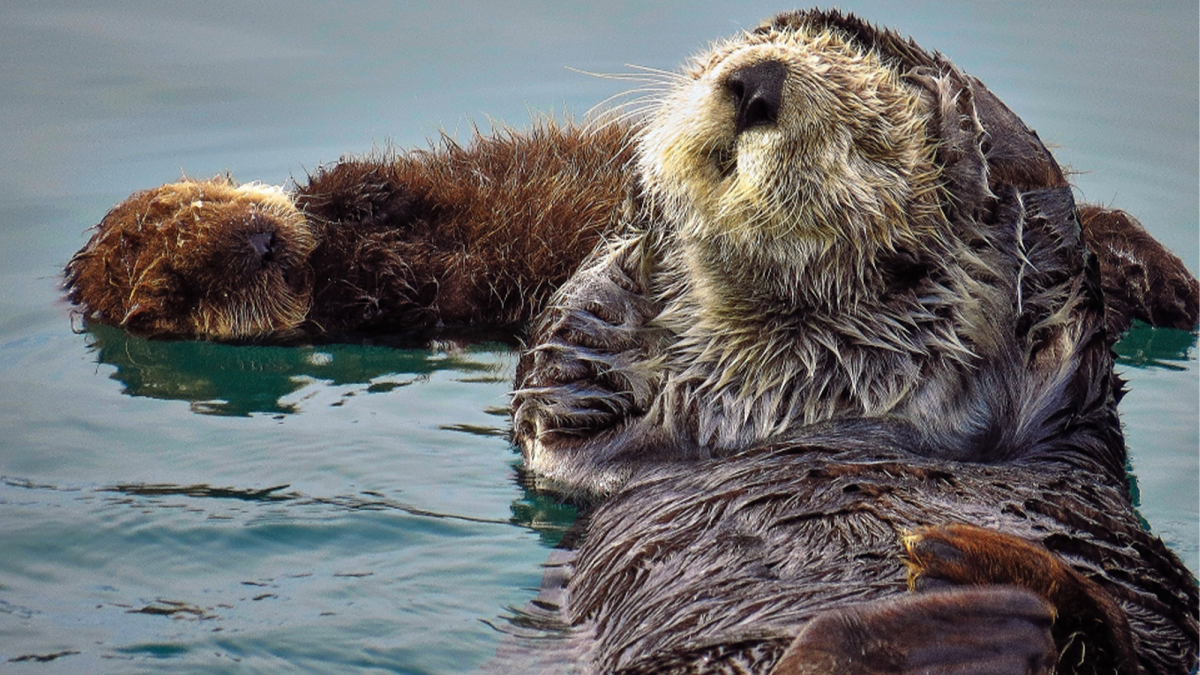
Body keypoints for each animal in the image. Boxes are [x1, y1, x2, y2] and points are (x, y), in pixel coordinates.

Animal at [505, 9, 1198, 674]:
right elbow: (558, 414)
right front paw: (612, 292)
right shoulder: (605, 442)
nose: (757, 81)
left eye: (870, 134)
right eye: (722, 58)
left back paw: (972, 579)